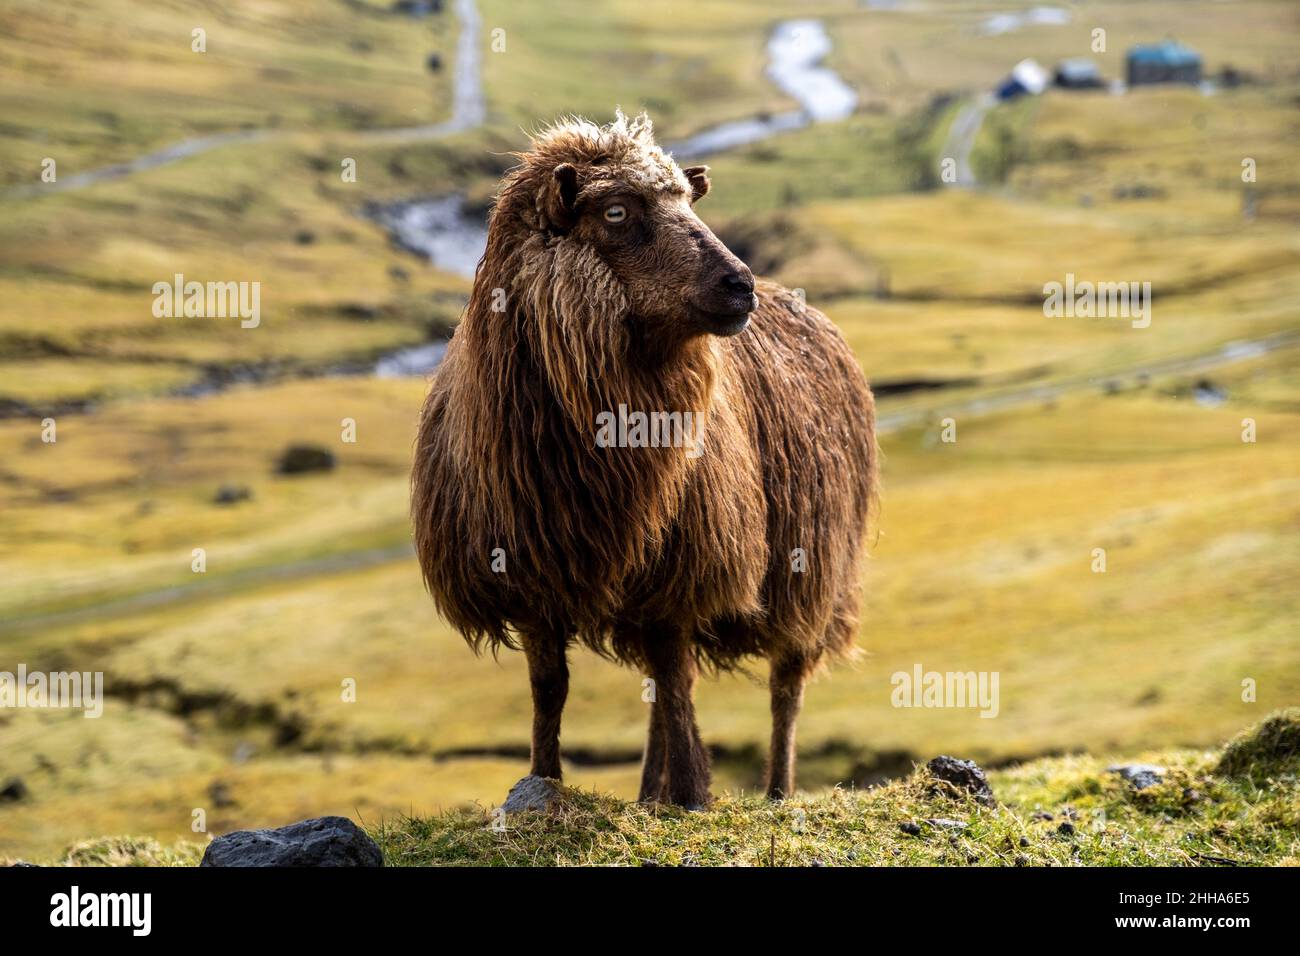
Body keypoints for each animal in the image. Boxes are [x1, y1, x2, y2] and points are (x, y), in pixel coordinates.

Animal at [412, 112, 877, 806]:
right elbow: (551, 687)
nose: (739, 285)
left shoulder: (686, 567)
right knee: (661, 691)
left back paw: (774, 792)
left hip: (812, 564)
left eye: (689, 203)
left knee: (784, 686)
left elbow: (678, 683)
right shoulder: (529, 579)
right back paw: (648, 795)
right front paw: (543, 782)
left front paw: (691, 794)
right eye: (615, 211)